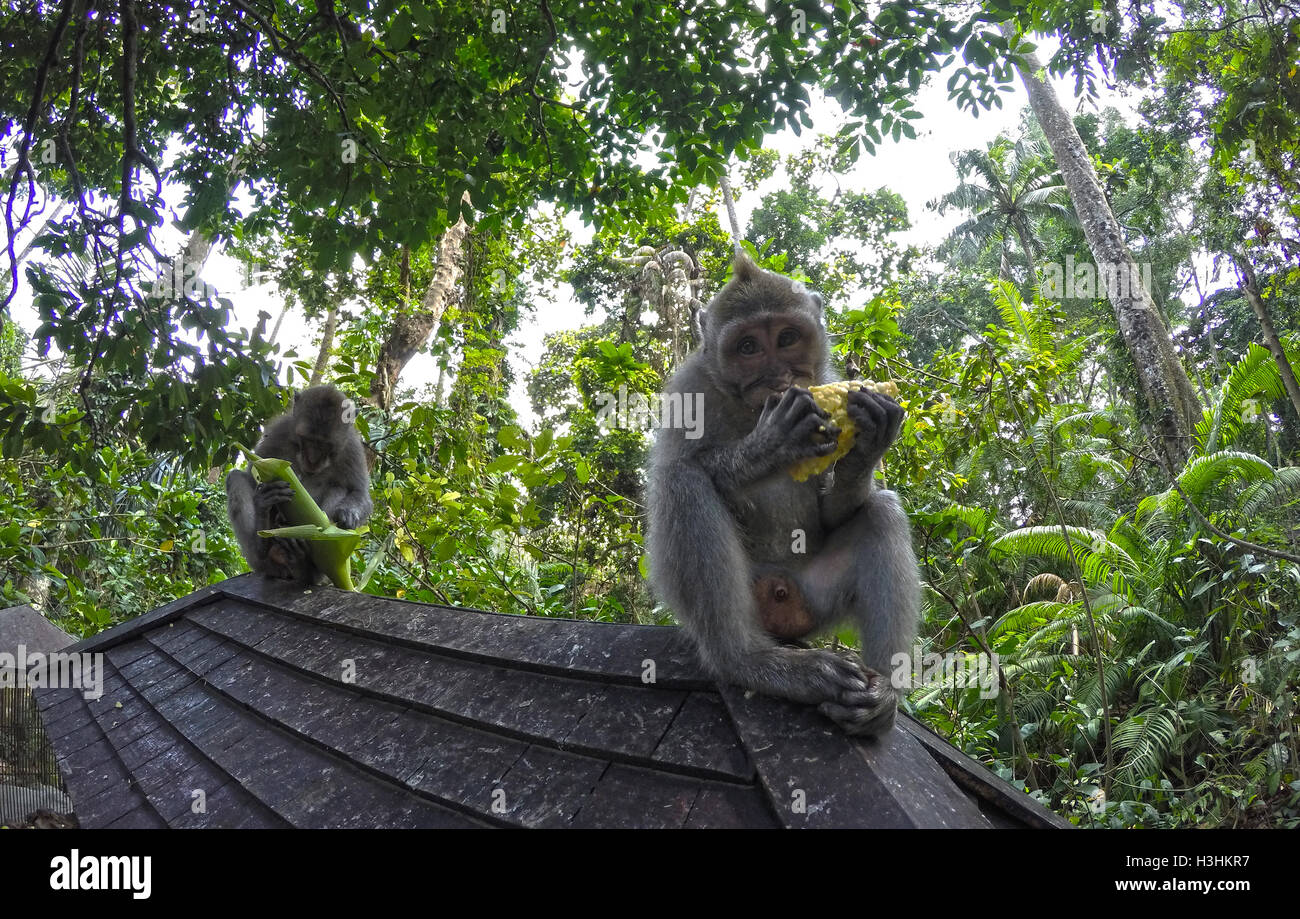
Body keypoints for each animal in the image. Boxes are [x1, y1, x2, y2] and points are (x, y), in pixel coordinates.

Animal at [226, 385, 373, 583]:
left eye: (326, 445)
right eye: (308, 440)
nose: (312, 460)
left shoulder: (352, 448)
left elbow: (358, 492)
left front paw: (348, 515)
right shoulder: (277, 432)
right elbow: (251, 477)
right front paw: (264, 500)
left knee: (337, 488)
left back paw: (305, 562)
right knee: (236, 478)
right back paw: (262, 542)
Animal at [645, 252, 920, 737]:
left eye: (787, 338)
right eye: (749, 348)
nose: (777, 376)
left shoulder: (825, 378)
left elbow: (833, 509)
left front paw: (868, 444)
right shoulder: (688, 387)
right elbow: (682, 463)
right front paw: (771, 443)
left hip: (817, 596)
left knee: (881, 512)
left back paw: (883, 693)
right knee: (681, 481)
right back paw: (749, 662)